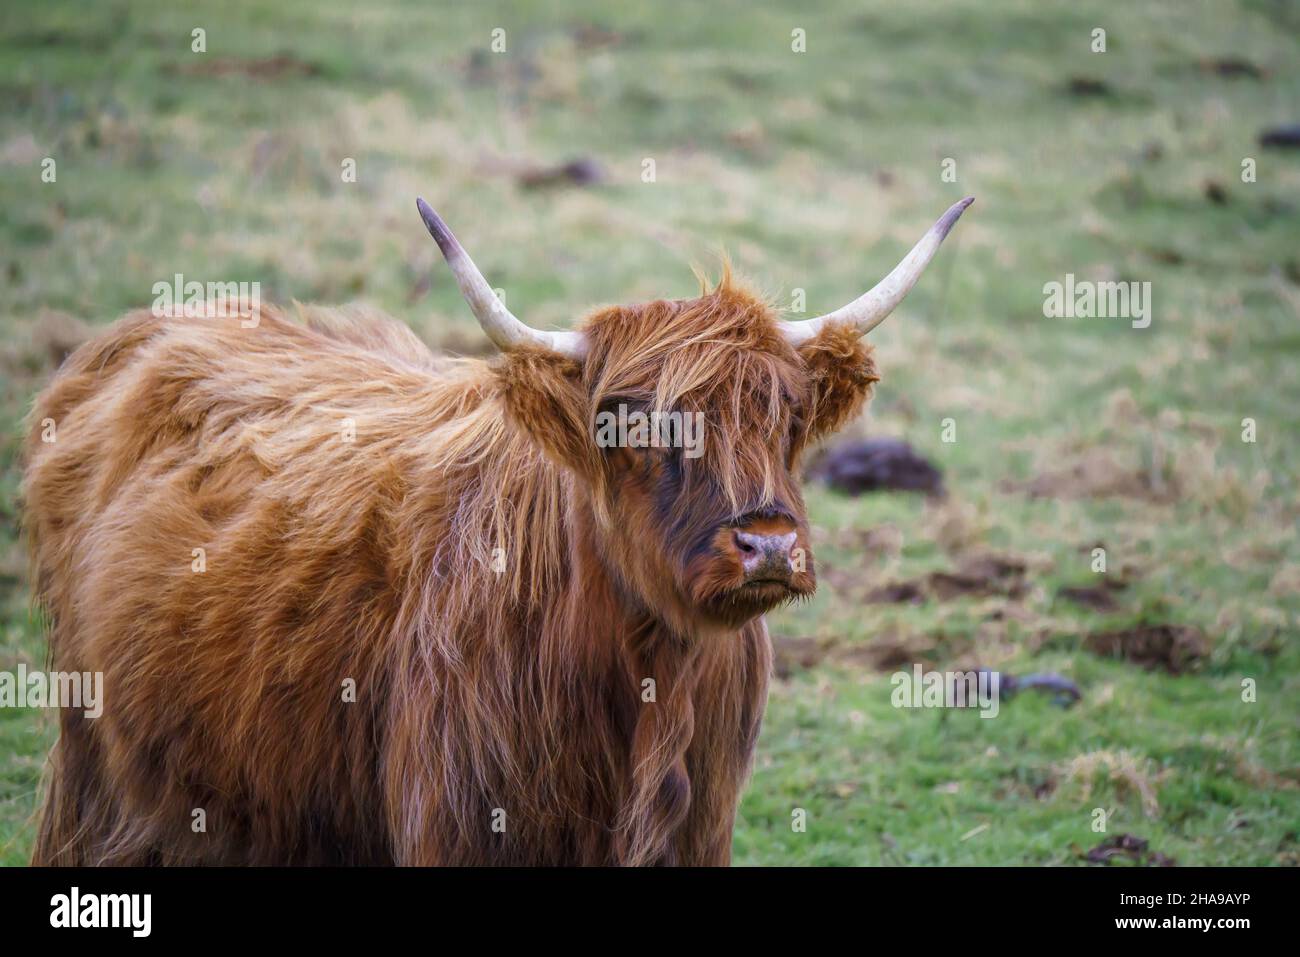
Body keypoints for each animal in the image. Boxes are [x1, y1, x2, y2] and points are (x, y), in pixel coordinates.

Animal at [24, 195, 972, 865]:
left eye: (787, 417)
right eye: (629, 422)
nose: (767, 544)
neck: (647, 677)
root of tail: (138, 332)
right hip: (96, 770)